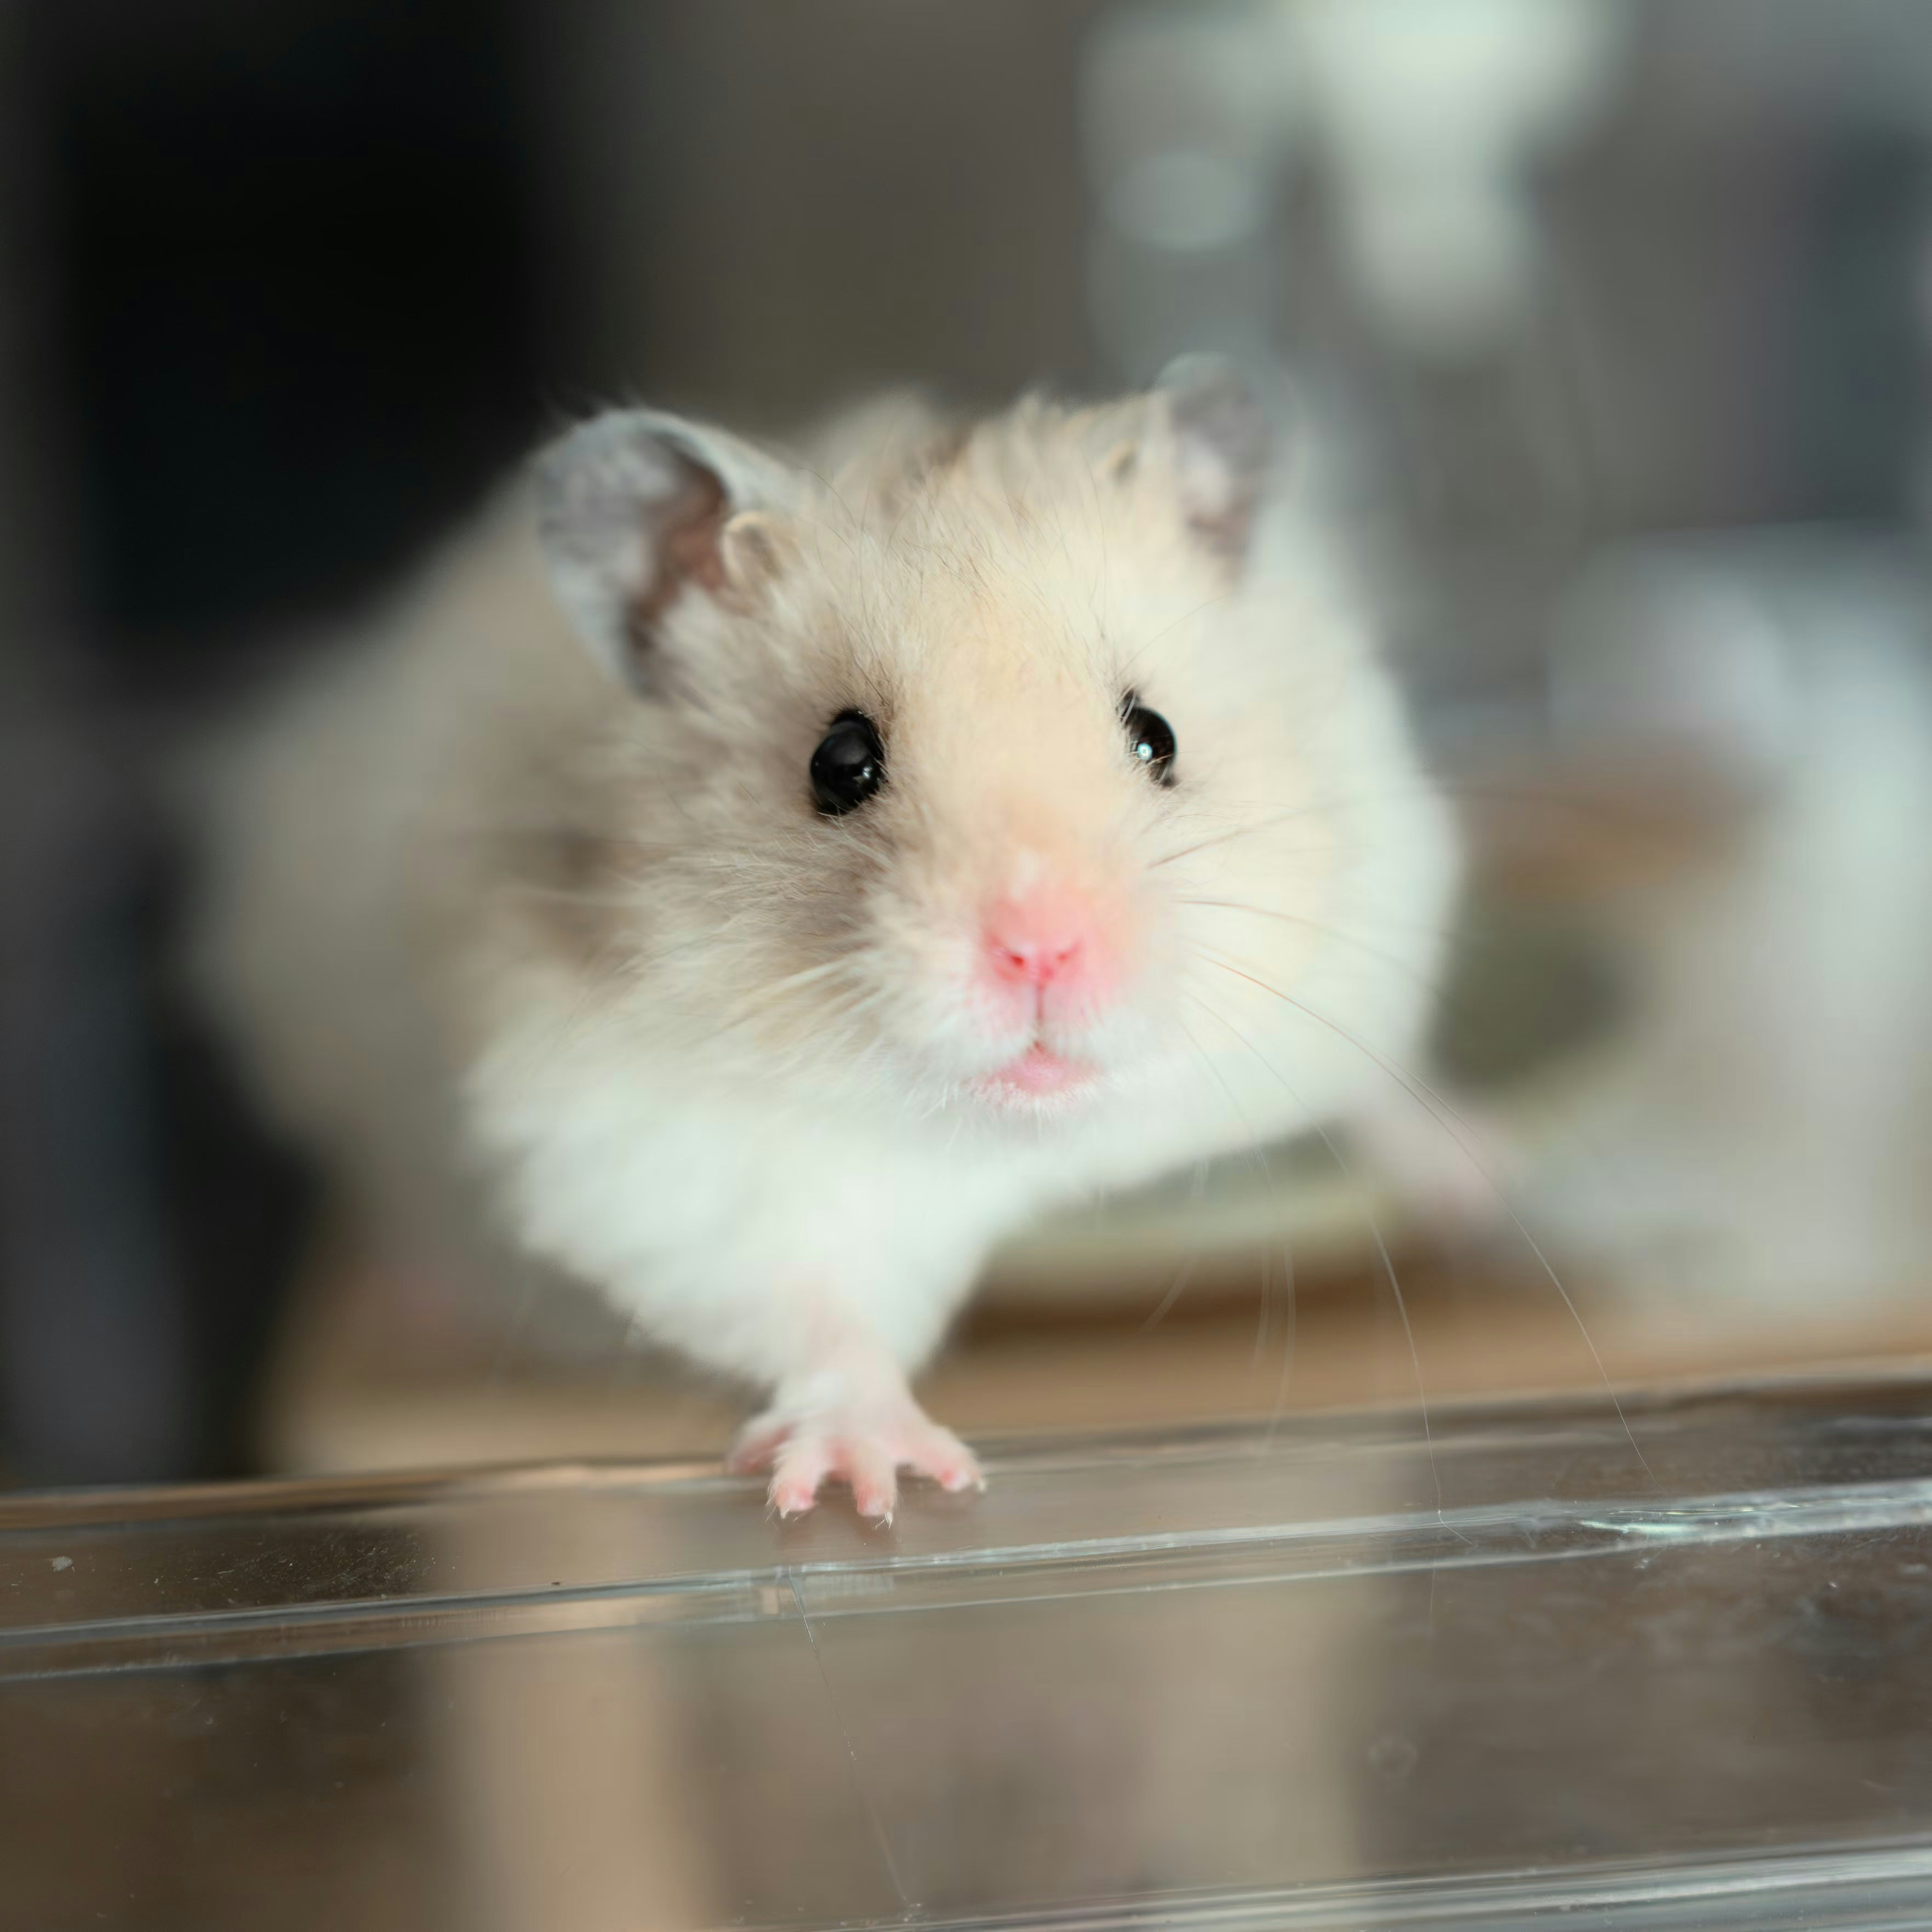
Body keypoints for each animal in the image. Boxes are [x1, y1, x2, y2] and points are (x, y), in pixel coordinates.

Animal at [189, 365, 1459, 1520]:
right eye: (839, 763)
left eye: (1158, 735)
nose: (1042, 952)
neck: (1016, 1137)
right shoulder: (652, 1155)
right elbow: (813, 1309)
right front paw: (871, 1484)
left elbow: (1377, 1088)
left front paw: (1469, 1181)